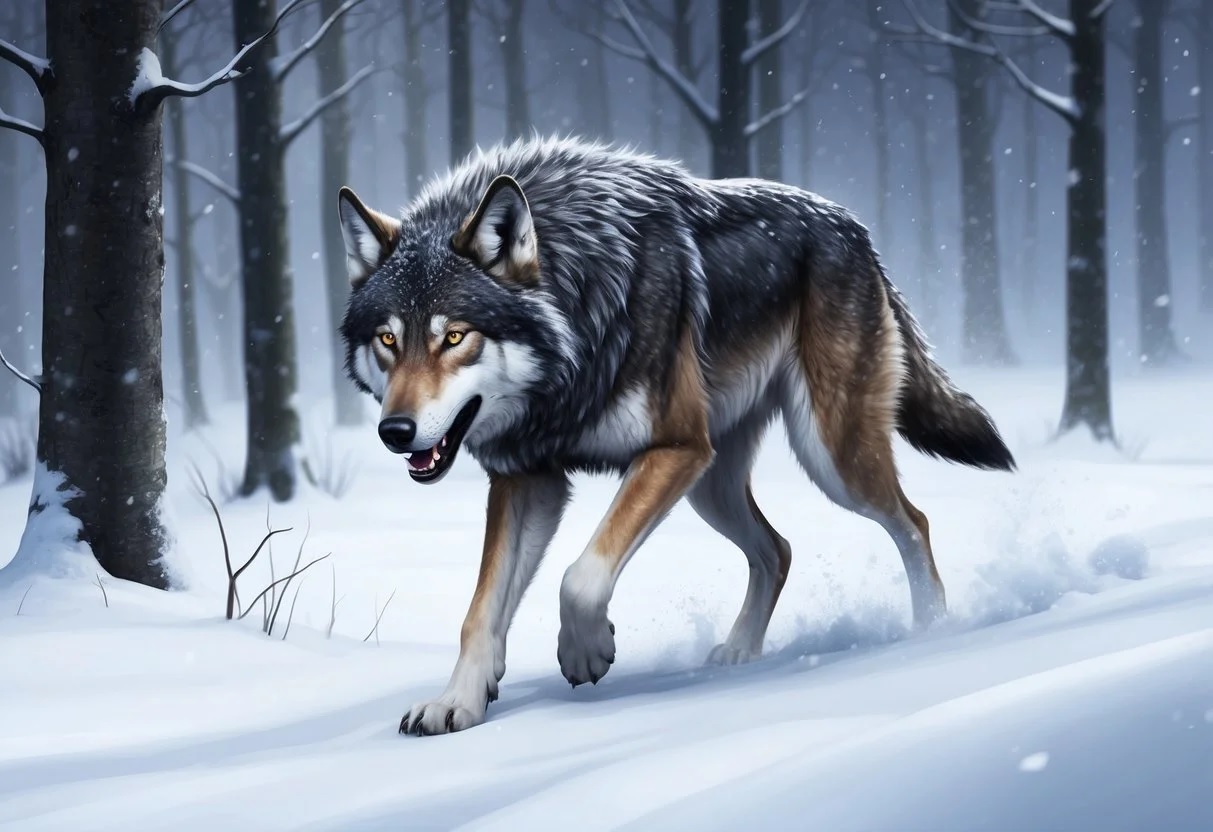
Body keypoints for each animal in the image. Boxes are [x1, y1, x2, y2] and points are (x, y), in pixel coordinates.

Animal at [336, 136, 1014, 736]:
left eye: (454, 337)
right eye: (389, 339)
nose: (394, 431)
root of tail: (853, 226)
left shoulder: (674, 447)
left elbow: (581, 576)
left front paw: (586, 652)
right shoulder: (527, 477)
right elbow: (480, 611)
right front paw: (457, 702)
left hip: (826, 458)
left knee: (913, 522)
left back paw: (930, 634)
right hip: (712, 486)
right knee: (778, 549)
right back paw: (741, 654)